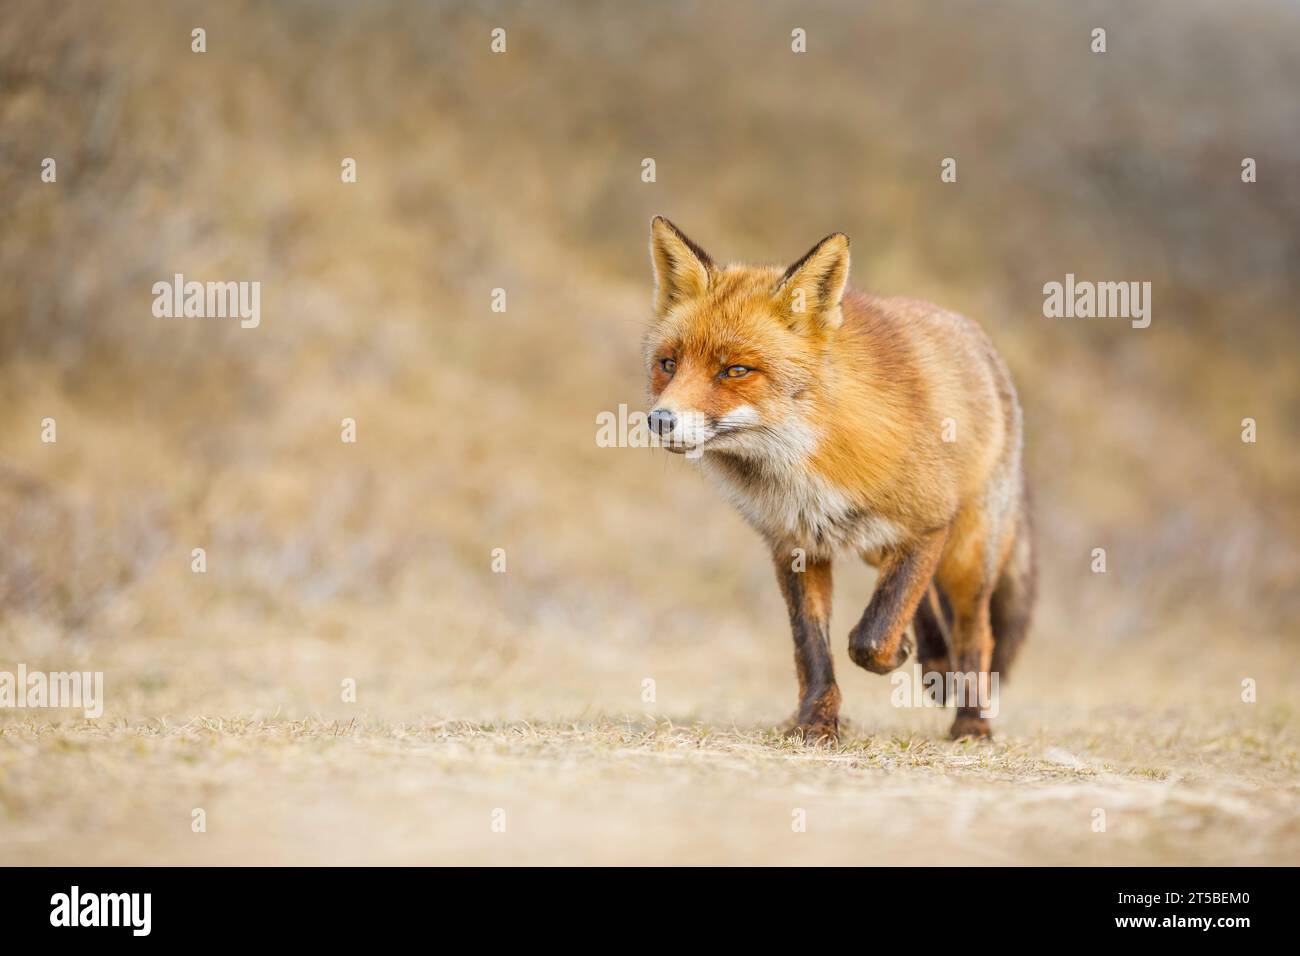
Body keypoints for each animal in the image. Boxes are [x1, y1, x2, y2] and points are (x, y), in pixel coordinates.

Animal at [644, 216, 1035, 742]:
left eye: (736, 370)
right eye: (668, 364)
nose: (660, 420)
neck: (804, 467)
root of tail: (981, 342)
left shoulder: (927, 523)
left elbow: (870, 636)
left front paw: (894, 656)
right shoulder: (795, 547)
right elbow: (812, 649)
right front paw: (816, 722)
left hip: (968, 553)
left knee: (976, 630)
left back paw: (971, 720)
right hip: (881, 548)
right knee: (924, 604)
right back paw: (934, 661)